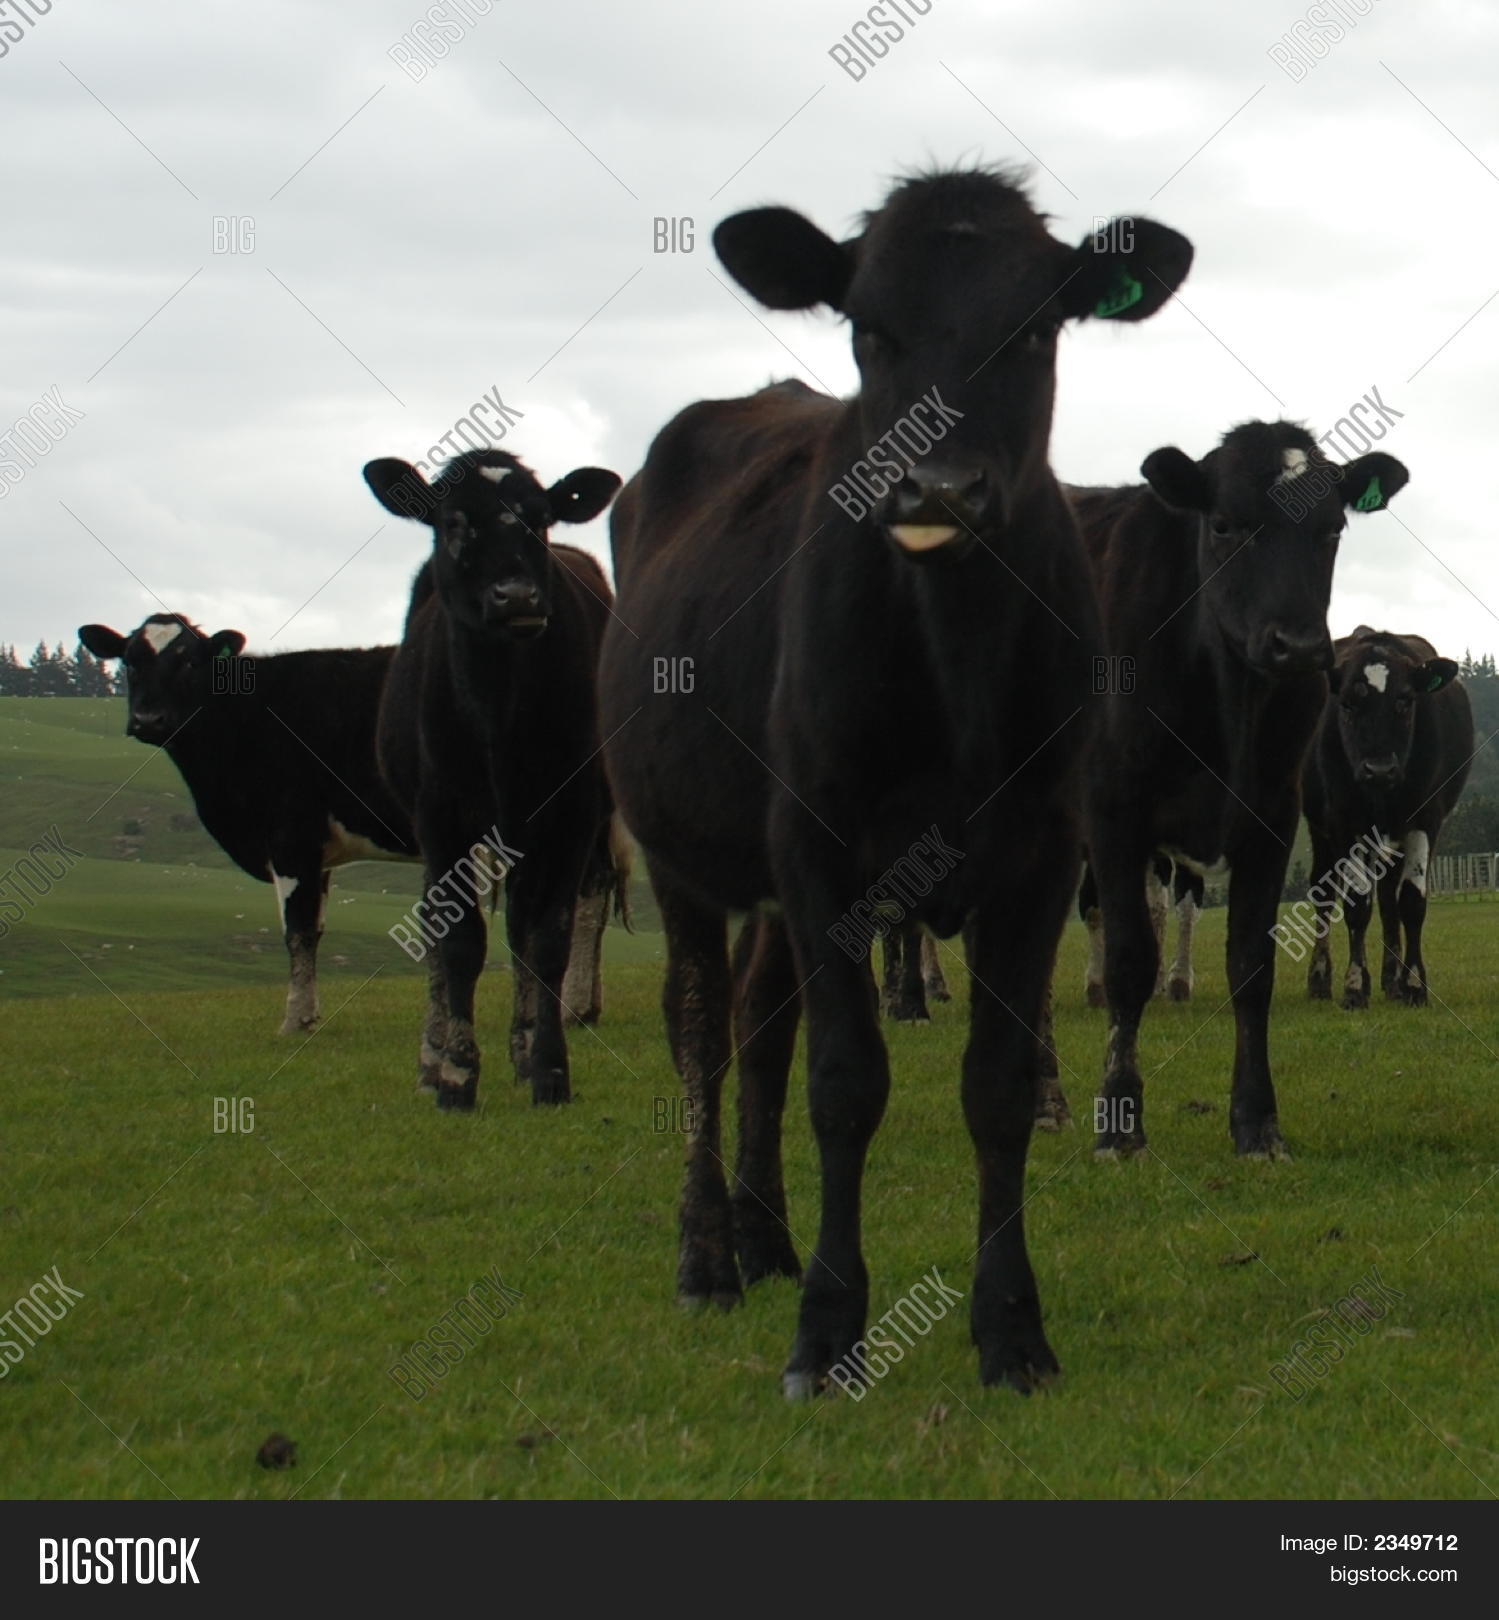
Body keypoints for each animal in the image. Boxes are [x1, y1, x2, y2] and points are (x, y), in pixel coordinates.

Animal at [77, 613, 623, 1039]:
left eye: (189, 661)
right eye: (129, 660)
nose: (148, 719)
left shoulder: (290, 837)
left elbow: (296, 930)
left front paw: (294, 1021)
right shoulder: (316, 854)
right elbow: (315, 930)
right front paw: (309, 1013)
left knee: (588, 896)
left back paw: (574, 1006)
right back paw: (587, 1003)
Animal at [365, 448, 621, 1110]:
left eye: (541, 519)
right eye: (453, 522)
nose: (517, 597)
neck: (497, 709)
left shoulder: (570, 812)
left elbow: (546, 938)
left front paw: (548, 1067)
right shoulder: (441, 815)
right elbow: (458, 943)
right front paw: (457, 1074)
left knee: (522, 926)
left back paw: (524, 1048)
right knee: (438, 932)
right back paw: (431, 1060)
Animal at [600, 164, 1192, 1395]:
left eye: (1035, 328)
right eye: (867, 328)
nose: (938, 487)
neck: (948, 658)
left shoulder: (1040, 853)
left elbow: (996, 1088)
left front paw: (1010, 1328)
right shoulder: (818, 845)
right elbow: (844, 1083)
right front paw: (827, 1331)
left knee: (756, 1022)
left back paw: (763, 1238)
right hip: (681, 850)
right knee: (699, 1026)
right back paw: (708, 1259)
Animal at [1074, 423, 1409, 1160]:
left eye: (1332, 527)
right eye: (1224, 524)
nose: (1298, 647)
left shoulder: (1272, 817)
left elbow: (1251, 964)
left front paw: (1256, 1121)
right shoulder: (1113, 812)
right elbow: (1128, 957)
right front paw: (1119, 1122)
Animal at [1302, 628, 1471, 1008]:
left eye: (1405, 701)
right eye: (1347, 704)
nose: (1378, 770)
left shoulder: (1426, 818)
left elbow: (1411, 901)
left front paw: (1413, 984)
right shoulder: (1345, 820)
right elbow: (1355, 903)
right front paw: (1353, 985)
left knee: (1389, 898)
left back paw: (1391, 981)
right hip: (1322, 832)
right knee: (1325, 892)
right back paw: (1319, 979)